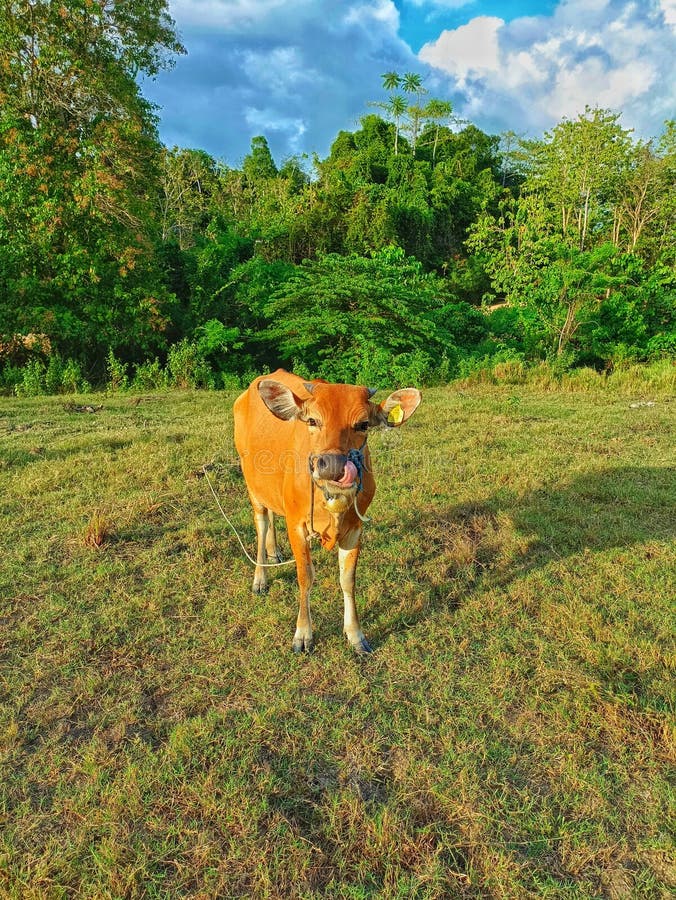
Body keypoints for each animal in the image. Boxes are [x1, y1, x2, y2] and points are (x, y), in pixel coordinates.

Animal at [233, 369, 421, 653]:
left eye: (363, 424)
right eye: (312, 420)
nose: (333, 466)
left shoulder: (355, 528)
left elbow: (348, 579)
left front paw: (356, 635)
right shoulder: (296, 525)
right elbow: (305, 577)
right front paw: (303, 634)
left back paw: (274, 552)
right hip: (252, 485)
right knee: (262, 522)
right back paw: (260, 577)